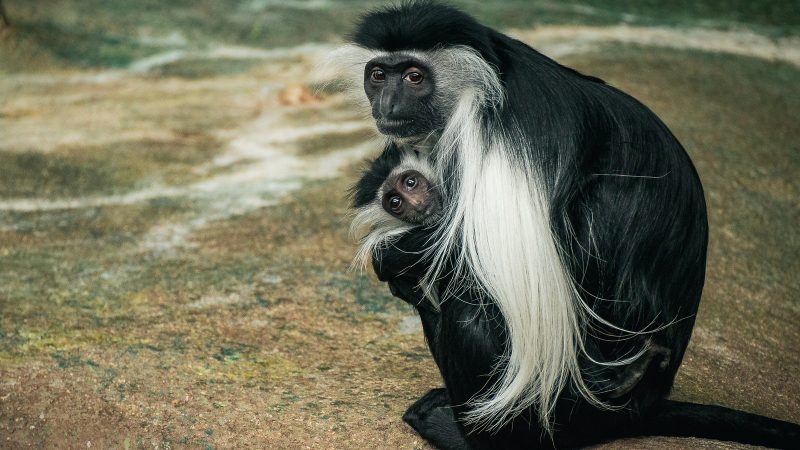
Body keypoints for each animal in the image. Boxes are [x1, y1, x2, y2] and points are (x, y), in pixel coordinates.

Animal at [338, 2, 800, 449]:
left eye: (414, 76)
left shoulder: (501, 136)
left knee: (465, 299)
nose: (387, 105)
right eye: (378, 75)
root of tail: (644, 405)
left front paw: (386, 253)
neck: (487, 78)